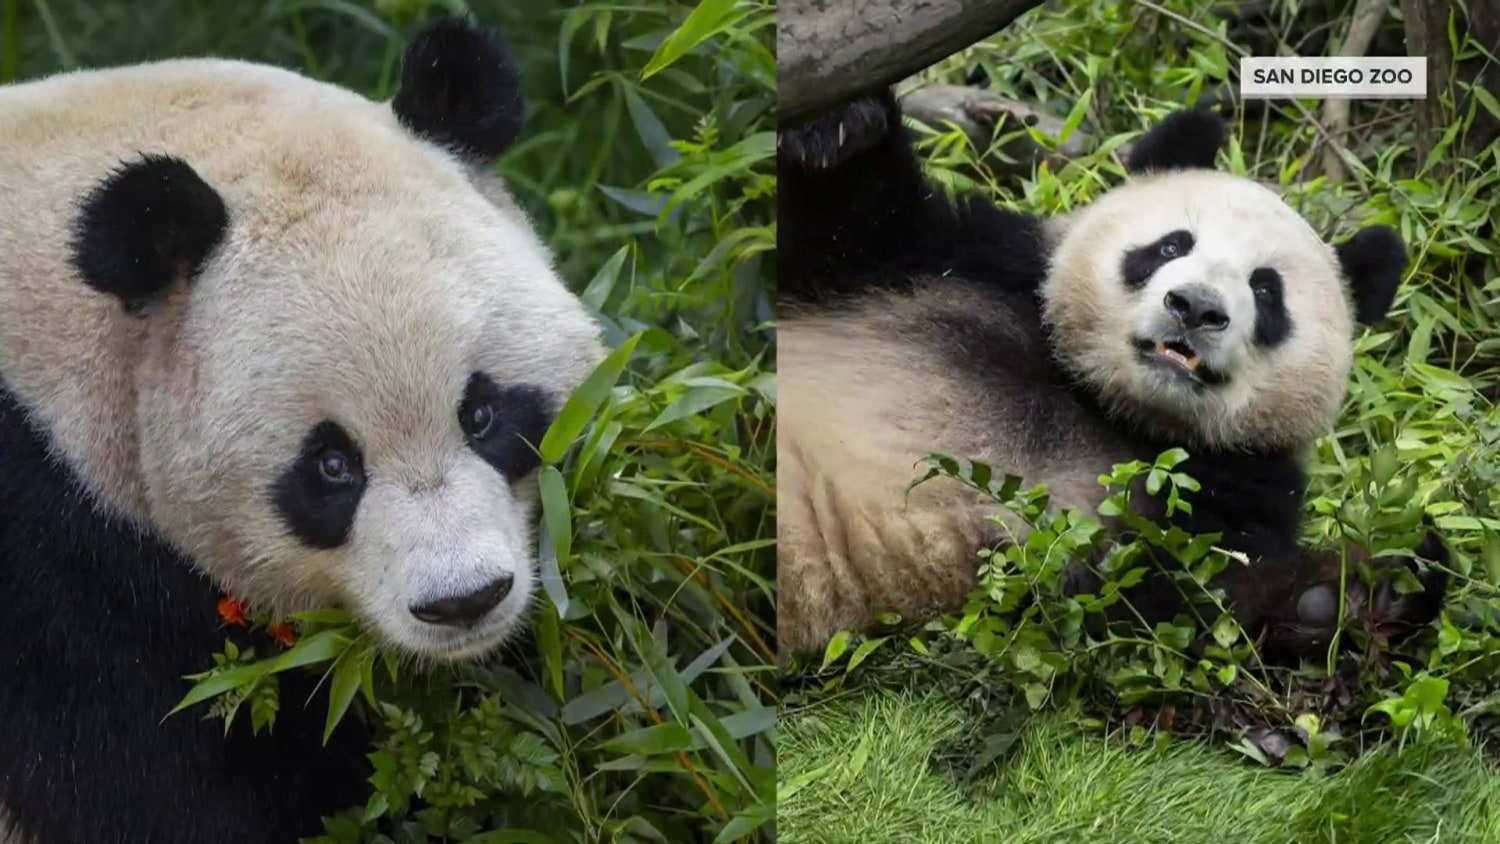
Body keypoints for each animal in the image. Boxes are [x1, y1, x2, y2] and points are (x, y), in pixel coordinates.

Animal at [776, 90, 1449, 664]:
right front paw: (840, 128)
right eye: (1171, 245)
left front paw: (1361, 591)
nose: (1195, 307)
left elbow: (1166, 605)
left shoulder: (1231, 479)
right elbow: (844, 235)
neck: (1105, 403)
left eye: (1266, 289)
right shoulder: (967, 264)